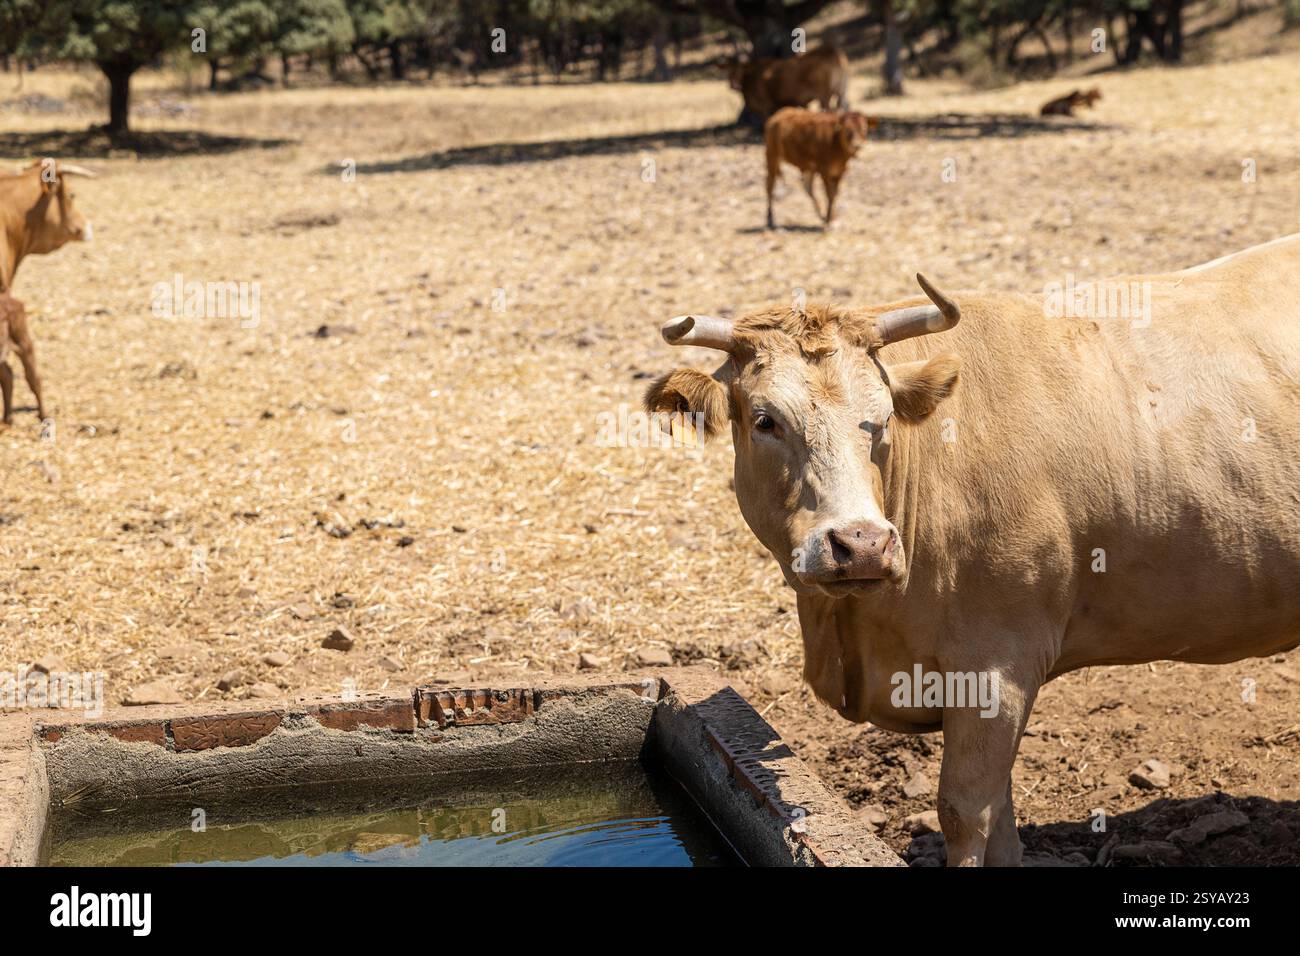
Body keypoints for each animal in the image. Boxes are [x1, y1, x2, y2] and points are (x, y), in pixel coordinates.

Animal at [643, 235, 1300, 865]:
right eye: (765, 420)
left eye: (882, 419)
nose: (863, 545)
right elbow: (1000, 822)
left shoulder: (998, 665)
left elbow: (965, 813)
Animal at [722, 45, 850, 121]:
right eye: (729, 70)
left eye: (742, 68)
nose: (734, 84)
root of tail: (833, 52)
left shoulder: (767, 108)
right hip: (841, 93)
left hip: (825, 97)